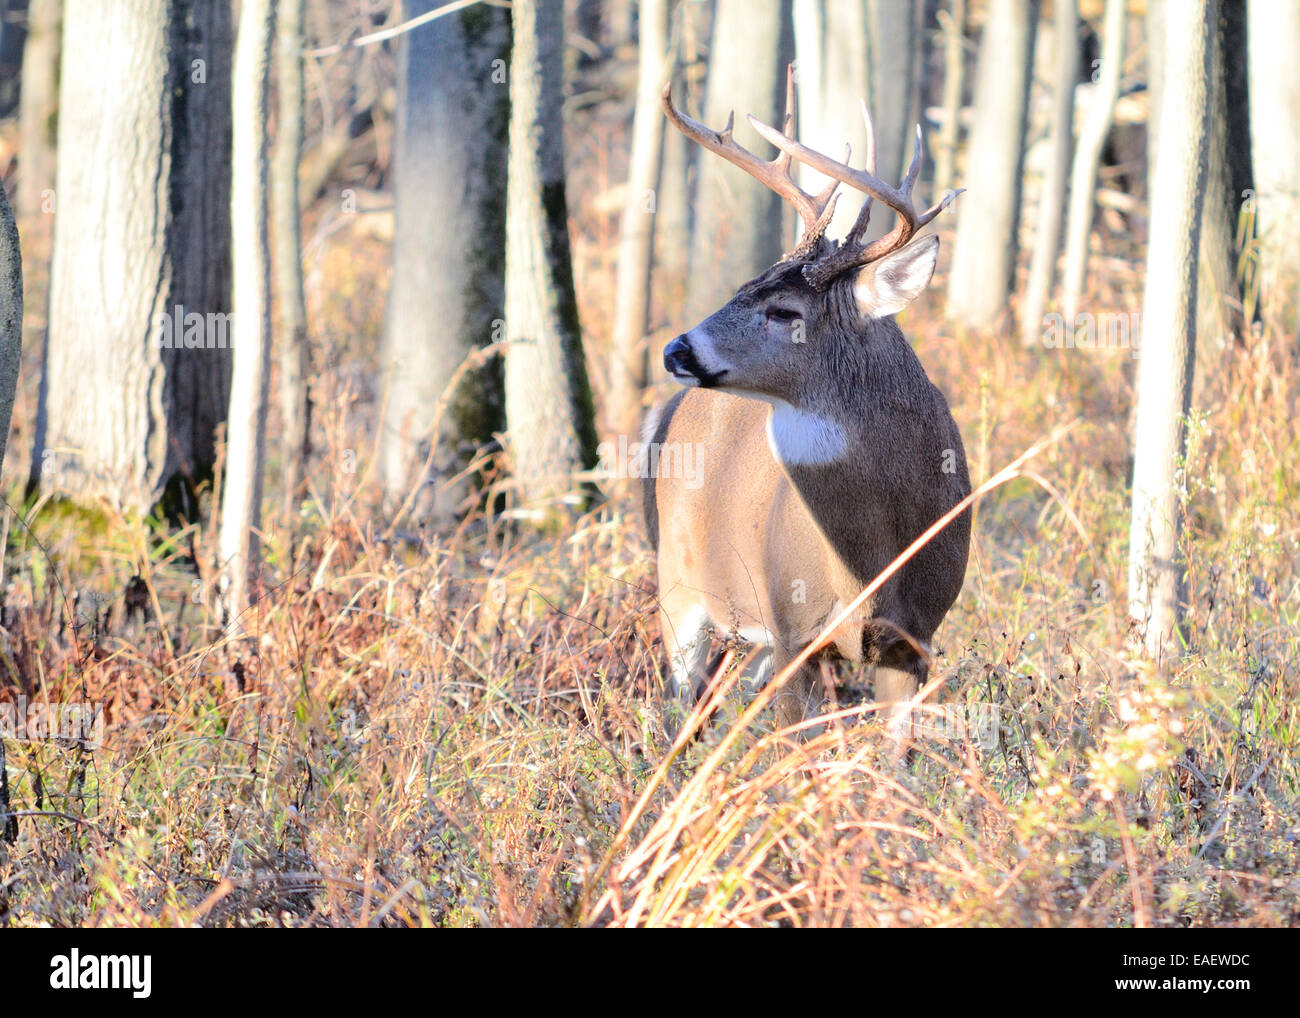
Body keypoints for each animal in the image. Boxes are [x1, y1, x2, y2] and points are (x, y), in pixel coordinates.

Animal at [643, 66, 971, 741]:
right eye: (743, 285)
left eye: (784, 311)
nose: (675, 348)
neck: (871, 567)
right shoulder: (795, 630)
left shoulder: (916, 641)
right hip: (679, 581)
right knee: (677, 701)